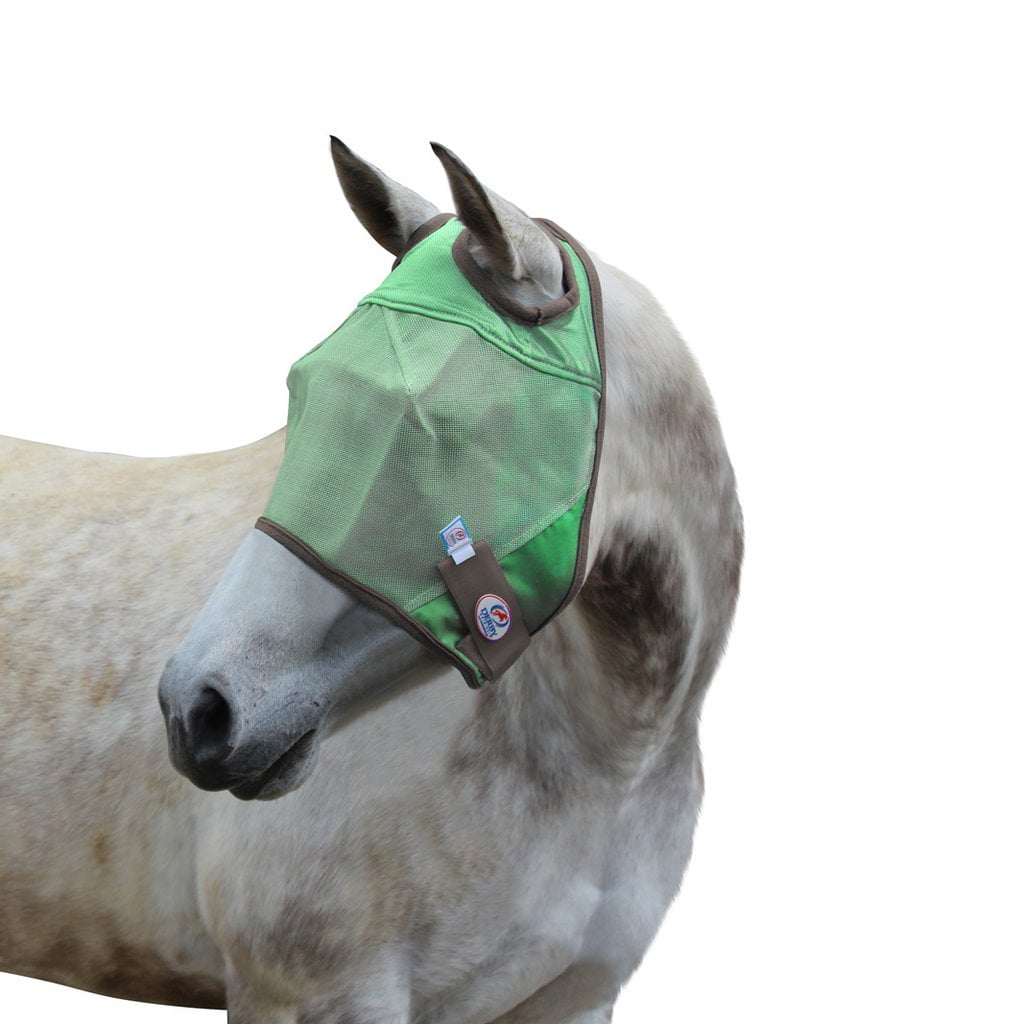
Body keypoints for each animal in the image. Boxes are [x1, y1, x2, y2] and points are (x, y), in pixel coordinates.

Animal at [0, 140, 743, 1023]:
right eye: (304, 387)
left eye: (432, 421)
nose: (199, 710)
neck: (601, 764)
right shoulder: (315, 994)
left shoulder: (578, 996)